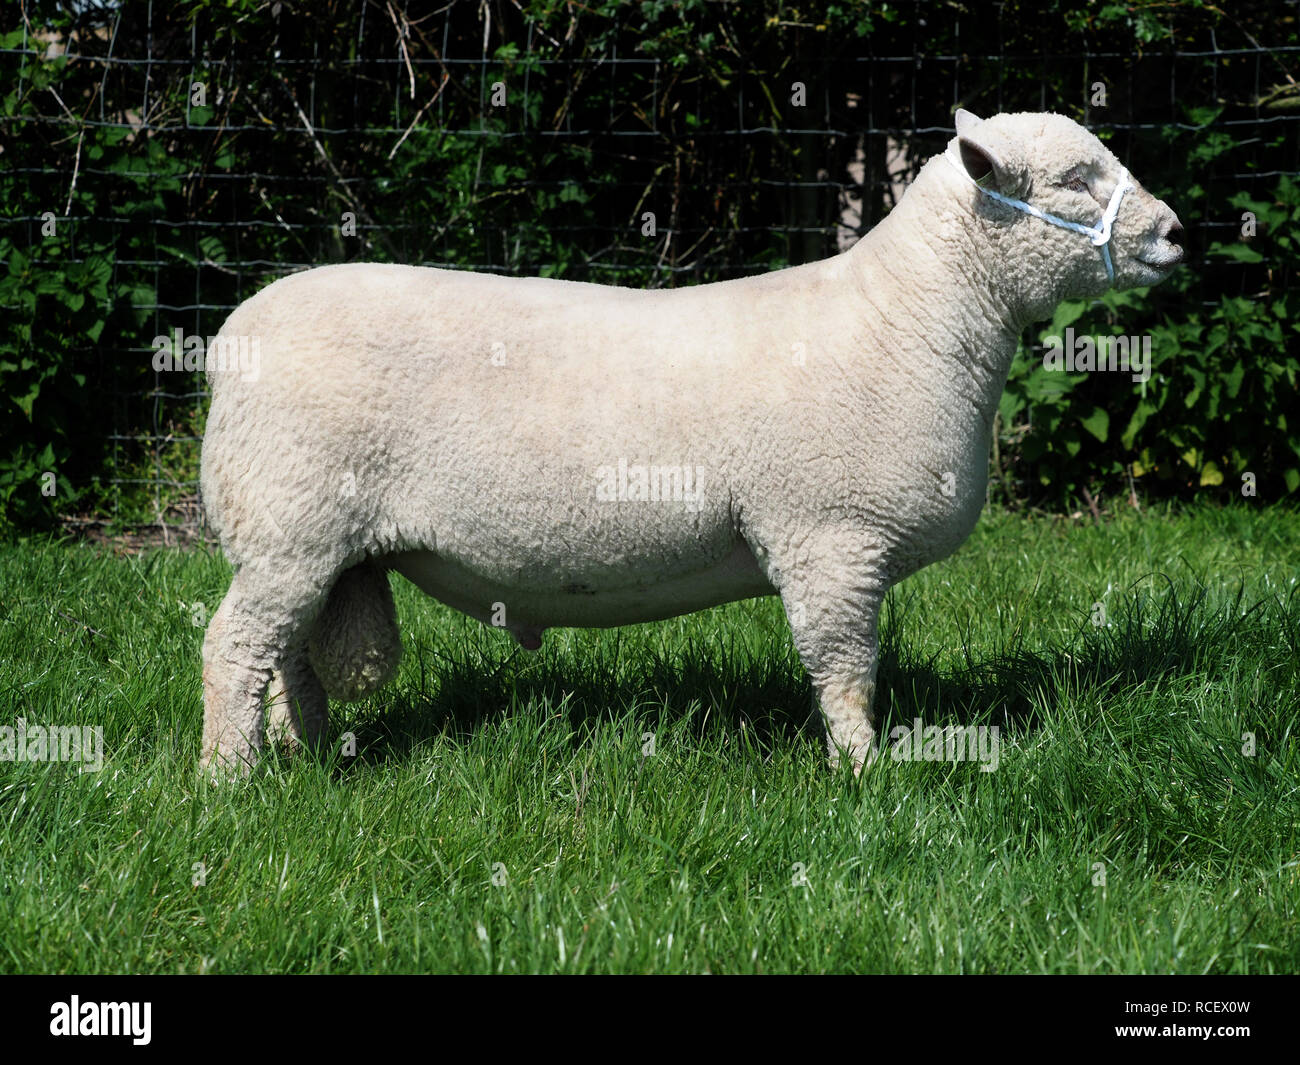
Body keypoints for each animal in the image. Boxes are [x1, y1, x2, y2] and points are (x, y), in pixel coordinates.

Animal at [199, 109, 1184, 776]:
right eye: (1073, 179)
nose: (1177, 233)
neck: (902, 319)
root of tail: (230, 337)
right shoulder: (831, 537)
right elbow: (846, 672)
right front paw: (865, 776)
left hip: (310, 539)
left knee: (286, 657)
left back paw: (307, 752)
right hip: (288, 521)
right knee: (233, 650)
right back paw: (231, 781)